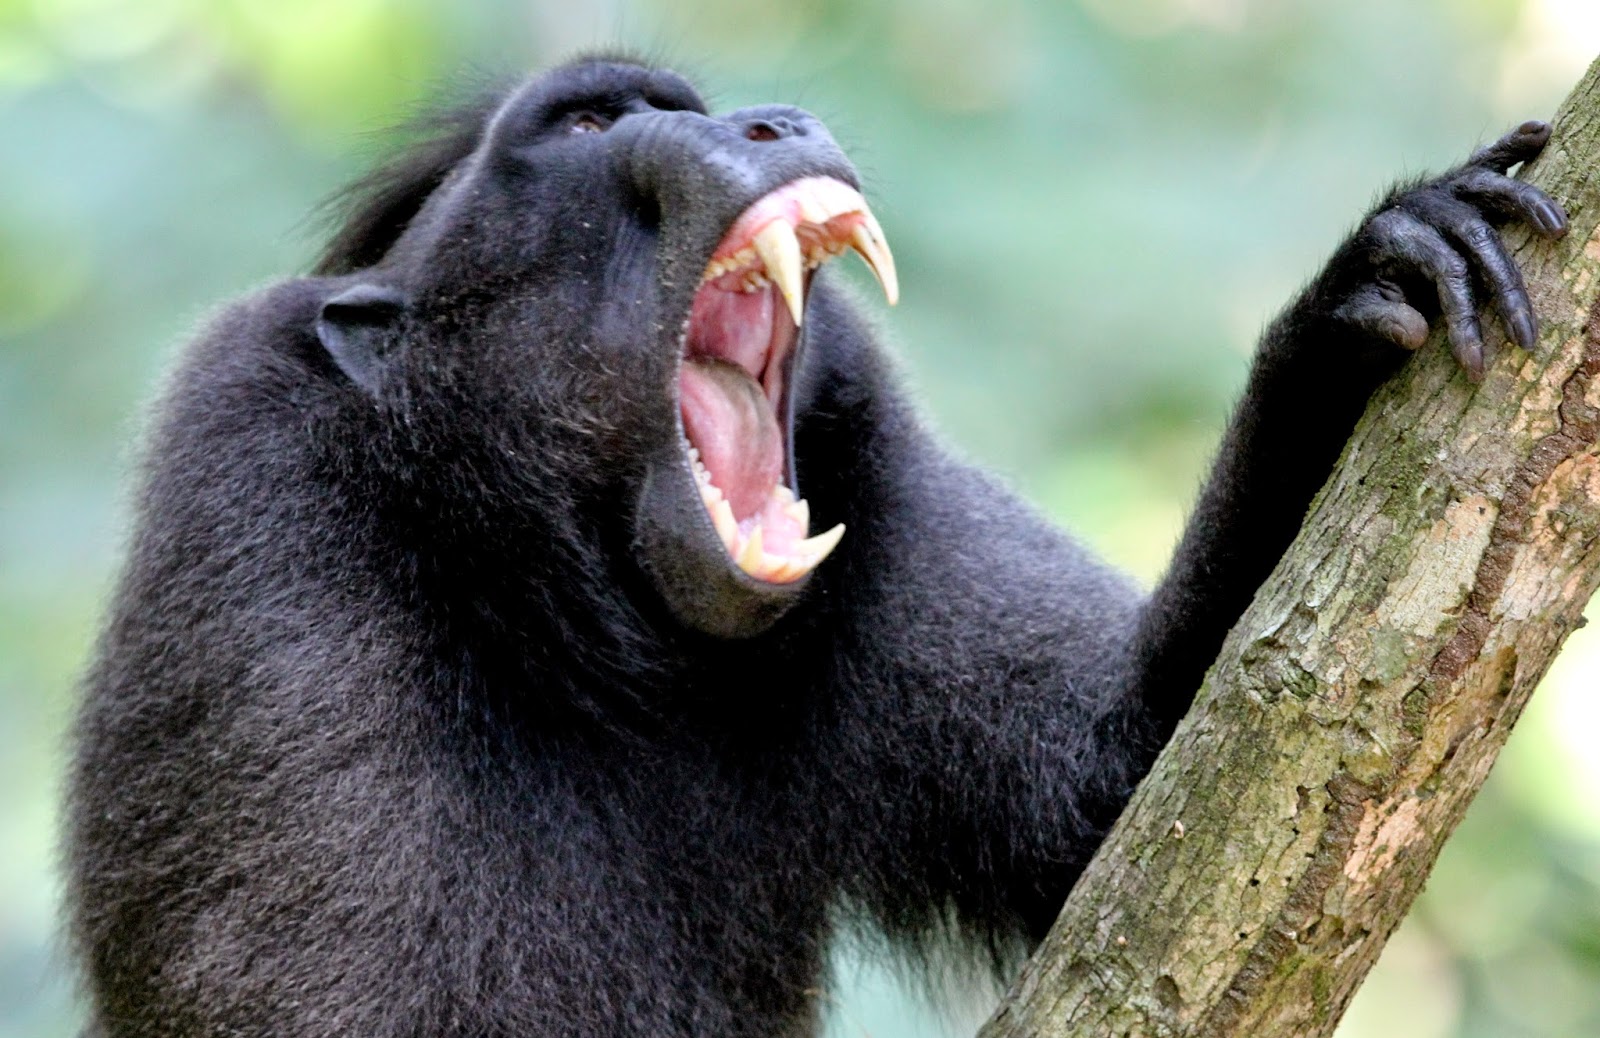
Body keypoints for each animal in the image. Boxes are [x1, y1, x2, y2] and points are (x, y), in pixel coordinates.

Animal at [64, 54, 1566, 1038]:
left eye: (690, 106)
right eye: (595, 119)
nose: (774, 118)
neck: (554, 621)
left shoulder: (872, 487)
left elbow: (1148, 812)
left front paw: (1341, 331)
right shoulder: (266, 518)